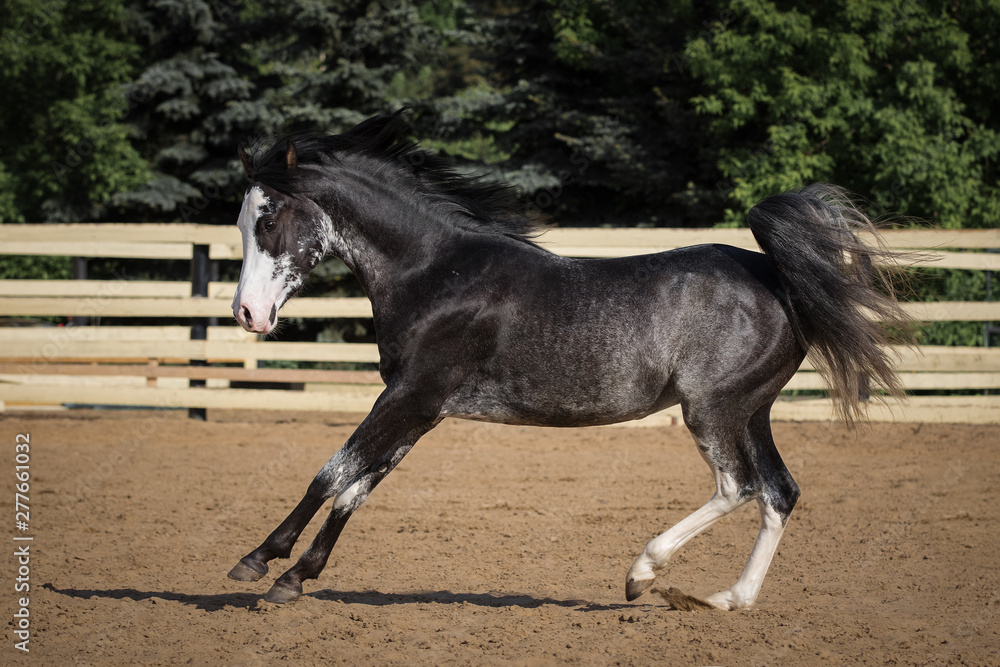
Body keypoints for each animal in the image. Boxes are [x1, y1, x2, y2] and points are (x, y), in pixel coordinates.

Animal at [226, 111, 911, 608]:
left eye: (268, 218)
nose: (247, 314)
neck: (433, 272)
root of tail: (776, 275)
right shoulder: (422, 409)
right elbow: (355, 488)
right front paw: (295, 577)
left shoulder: (410, 396)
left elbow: (330, 474)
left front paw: (258, 562)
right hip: (753, 411)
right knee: (778, 491)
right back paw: (726, 600)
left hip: (714, 409)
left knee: (738, 485)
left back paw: (643, 574)